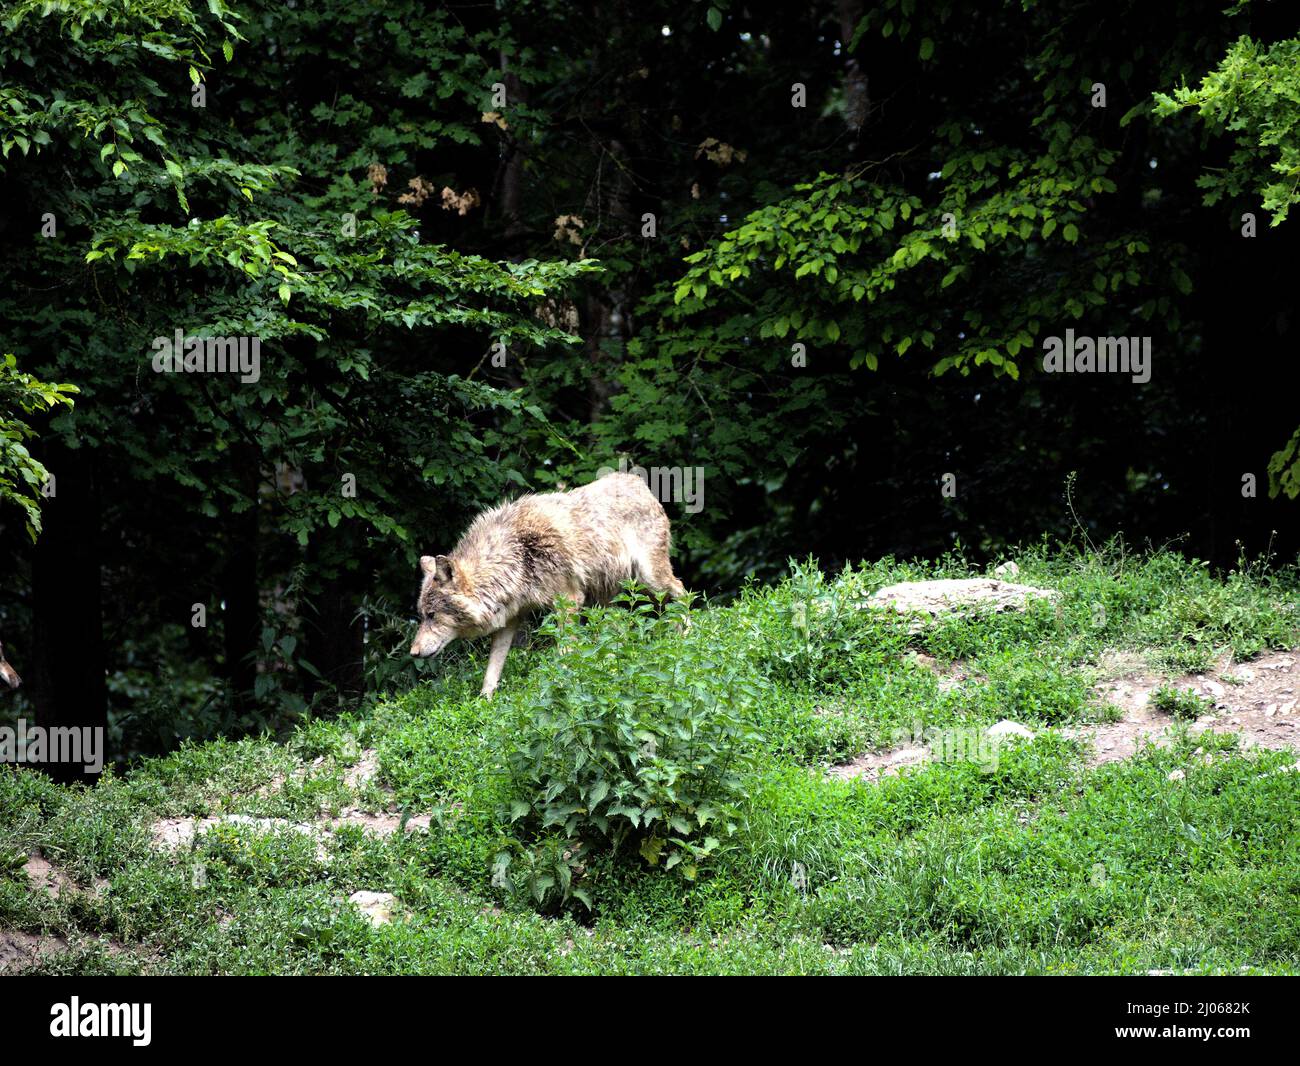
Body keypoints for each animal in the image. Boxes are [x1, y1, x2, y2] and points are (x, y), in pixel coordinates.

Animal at [410, 472, 686, 698]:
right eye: (422, 616)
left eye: (432, 615)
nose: (413, 652)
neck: (515, 558)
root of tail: (639, 483)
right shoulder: (511, 618)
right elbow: (493, 667)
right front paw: (484, 701)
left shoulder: (569, 601)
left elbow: (564, 652)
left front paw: (563, 685)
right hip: (608, 599)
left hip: (650, 579)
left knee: (682, 590)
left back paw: (684, 636)